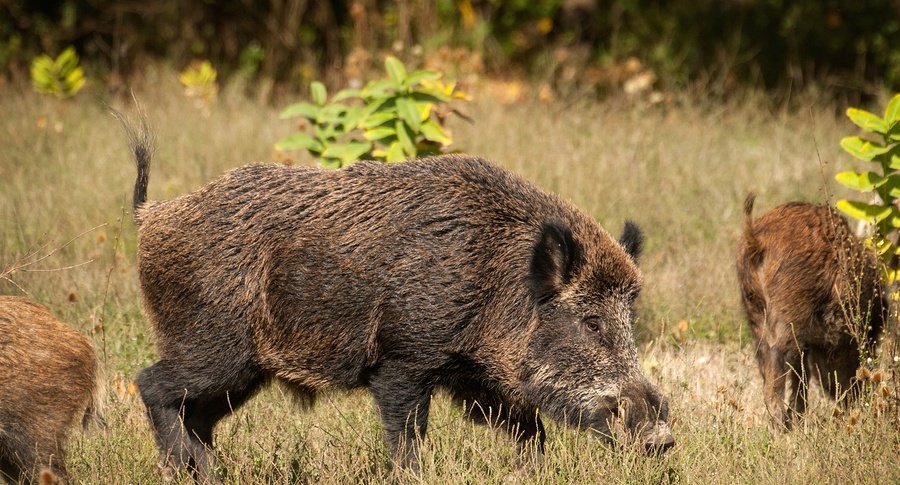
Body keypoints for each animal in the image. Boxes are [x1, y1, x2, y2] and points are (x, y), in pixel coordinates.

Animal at [118, 116, 674, 482]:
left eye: (630, 318)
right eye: (592, 322)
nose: (662, 438)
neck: (494, 278)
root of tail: (152, 214)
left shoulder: (473, 375)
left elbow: (529, 429)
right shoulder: (404, 360)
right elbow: (407, 437)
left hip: (245, 372)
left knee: (198, 418)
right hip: (212, 346)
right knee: (152, 385)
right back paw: (176, 469)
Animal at [736, 194, 886, 428]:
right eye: (868, 342)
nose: (858, 398)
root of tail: (756, 240)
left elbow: (801, 373)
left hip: (754, 311)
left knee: (764, 360)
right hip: (787, 311)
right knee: (776, 361)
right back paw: (780, 425)